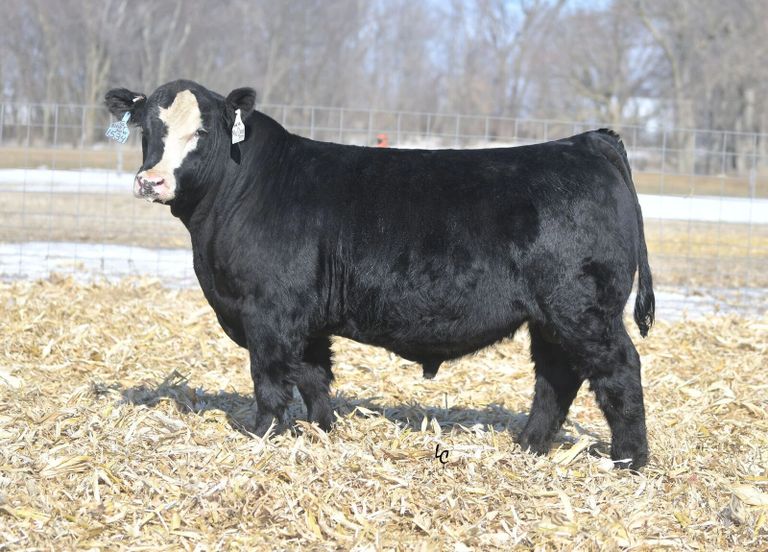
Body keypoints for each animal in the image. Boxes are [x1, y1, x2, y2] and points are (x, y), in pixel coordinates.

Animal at [105, 79, 655, 469]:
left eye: (202, 132)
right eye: (147, 130)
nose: (151, 181)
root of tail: (587, 142)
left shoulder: (269, 312)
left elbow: (271, 380)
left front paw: (262, 435)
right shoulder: (306, 318)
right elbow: (314, 376)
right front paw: (324, 432)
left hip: (583, 309)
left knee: (619, 369)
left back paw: (628, 460)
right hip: (551, 318)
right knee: (556, 378)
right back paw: (528, 446)